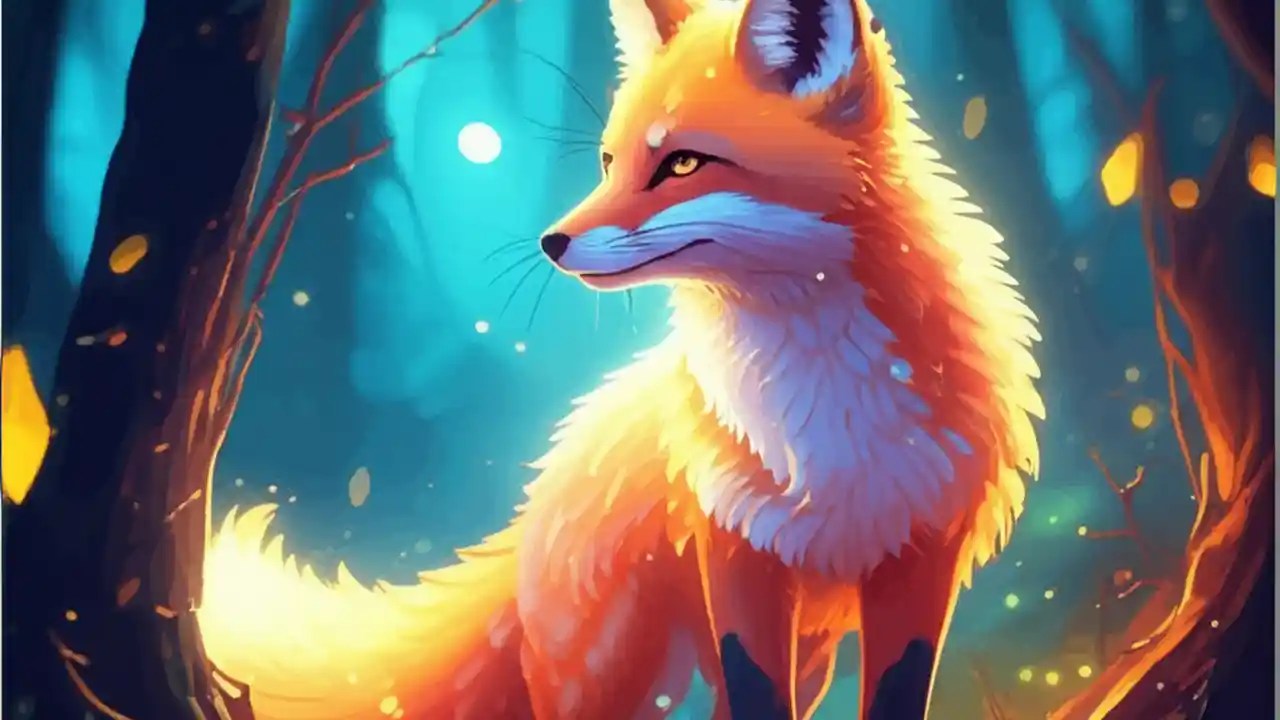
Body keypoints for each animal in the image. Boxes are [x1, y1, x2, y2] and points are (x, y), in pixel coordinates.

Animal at [199, 0, 1043, 718]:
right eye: (608, 161)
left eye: (683, 164)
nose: (551, 242)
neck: (831, 418)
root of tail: (541, 489)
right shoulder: (738, 553)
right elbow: (757, 694)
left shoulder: (923, 560)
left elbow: (896, 693)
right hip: (607, 672)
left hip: (801, 651)